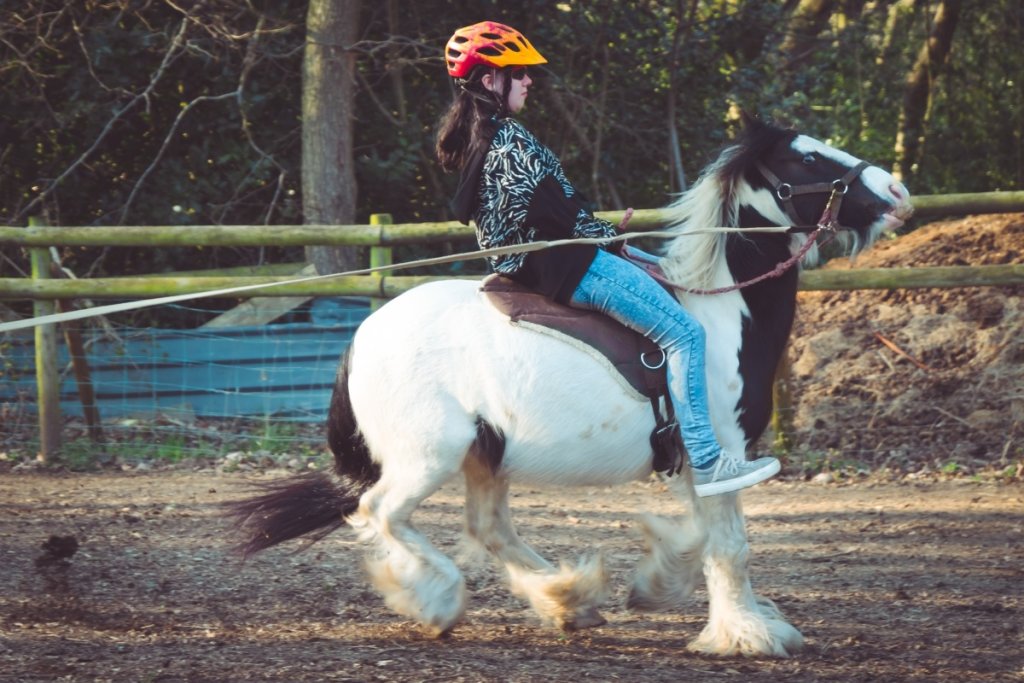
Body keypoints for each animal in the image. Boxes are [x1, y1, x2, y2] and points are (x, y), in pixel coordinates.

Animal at [226, 116, 913, 657]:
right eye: (808, 158)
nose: (897, 190)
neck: (720, 309)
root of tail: (363, 336)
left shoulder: (699, 461)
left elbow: (700, 536)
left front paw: (660, 585)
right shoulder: (722, 450)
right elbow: (730, 545)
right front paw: (748, 633)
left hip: (484, 455)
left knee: (489, 528)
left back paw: (567, 598)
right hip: (428, 457)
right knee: (380, 513)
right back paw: (437, 599)